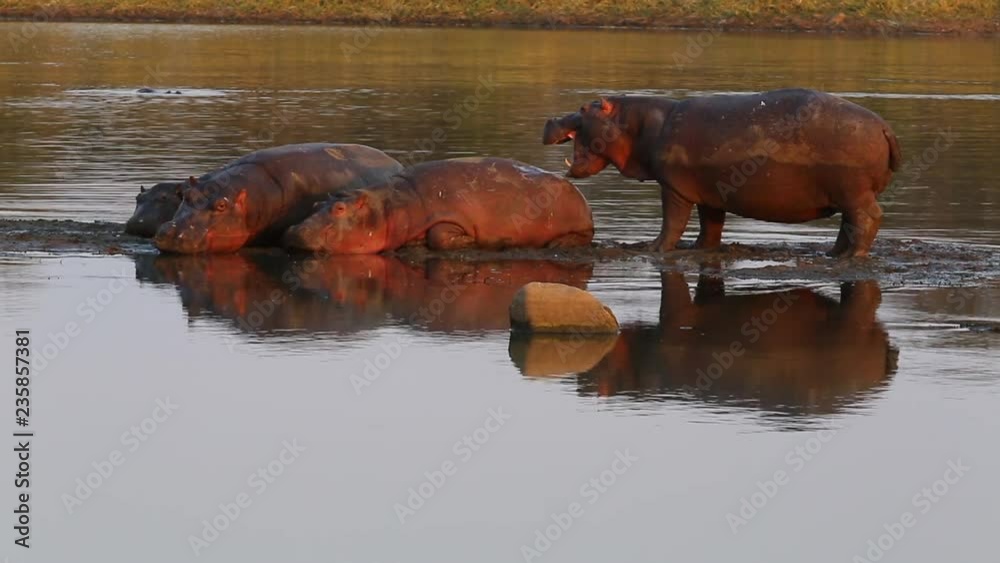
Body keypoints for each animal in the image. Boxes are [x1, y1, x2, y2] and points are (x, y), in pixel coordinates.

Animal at [282, 157, 594, 254]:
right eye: (317, 203)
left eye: (340, 209)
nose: (294, 231)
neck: (388, 207)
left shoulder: (449, 215)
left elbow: (440, 237)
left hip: (579, 225)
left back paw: (558, 245)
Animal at [543, 88, 902, 257]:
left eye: (584, 107)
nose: (550, 119)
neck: (638, 123)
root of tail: (885, 126)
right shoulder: (709, 192)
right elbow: (710, 224)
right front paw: (700, 249)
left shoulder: (674, 187)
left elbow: (672, 221)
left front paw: (654, 248)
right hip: (847, 195)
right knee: (850, 225)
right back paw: (833, 253)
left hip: (854, 192)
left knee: (868, 218)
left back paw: (850, 258)